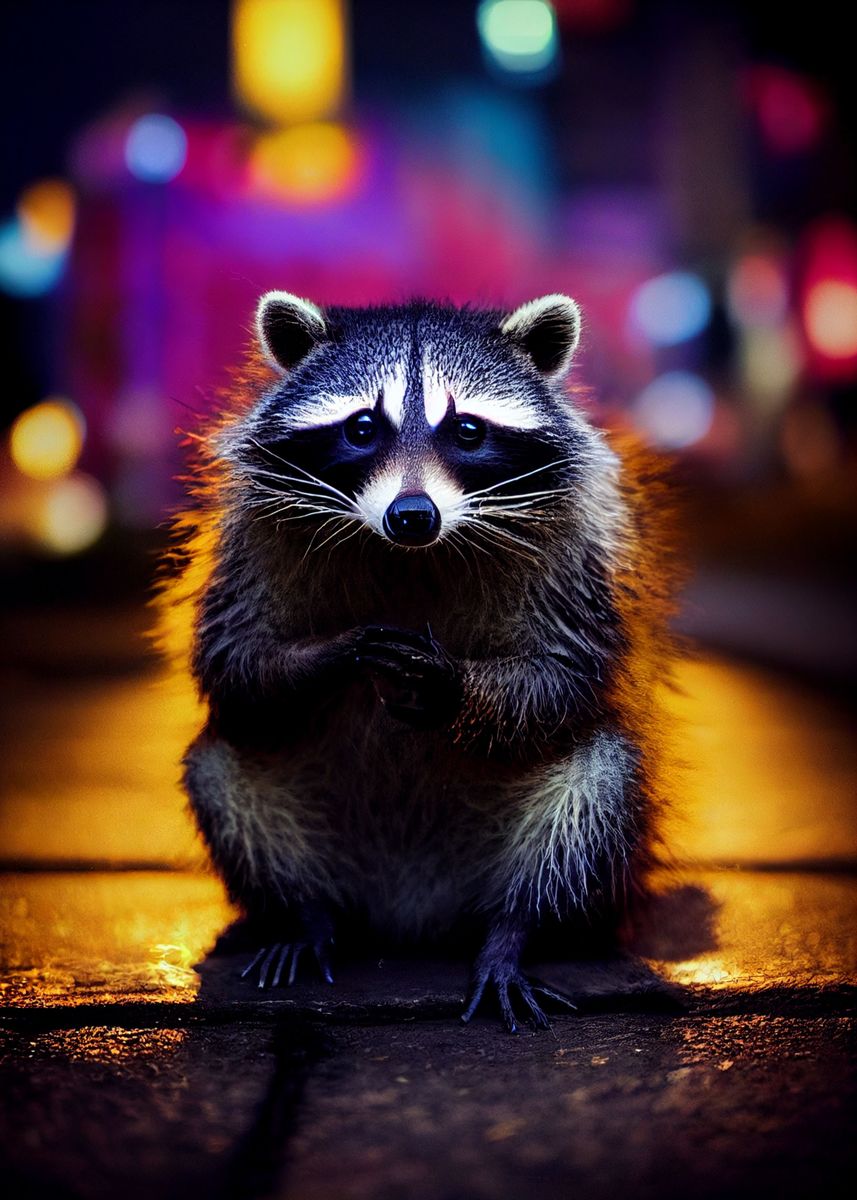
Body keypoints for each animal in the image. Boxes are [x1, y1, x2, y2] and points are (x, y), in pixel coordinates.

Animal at [175, 292, 676, 1032]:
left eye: (466, 430)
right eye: (362, 427)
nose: (412, 515)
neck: (409, 555)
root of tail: (410, 913)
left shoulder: (574, 546)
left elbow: (564, 672)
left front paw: (449, 686)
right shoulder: (251, 538)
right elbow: (232, 659)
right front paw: (333, 655)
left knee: (598, 784)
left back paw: (513, 932)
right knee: (221, 771)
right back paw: (303, 914)